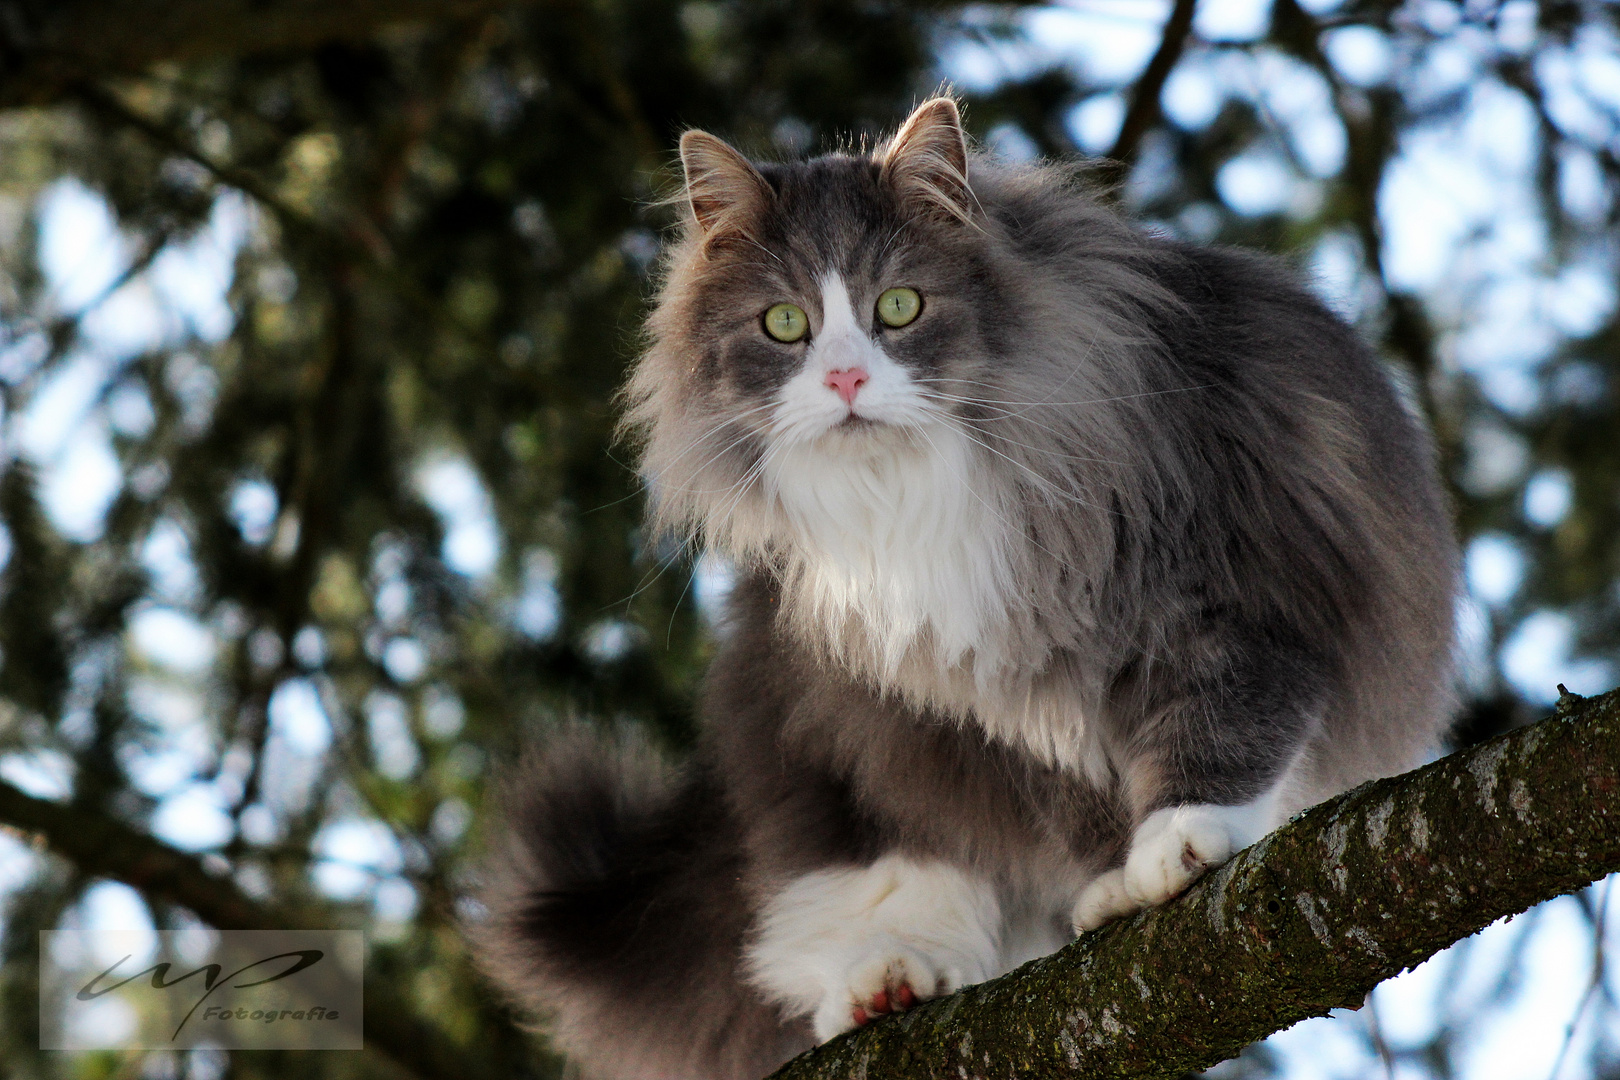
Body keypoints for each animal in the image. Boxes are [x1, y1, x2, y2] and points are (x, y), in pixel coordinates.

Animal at [469, 99, 1458, 1080]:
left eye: (898, 307)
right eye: (784, 323)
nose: (846, 377)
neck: (910, 500)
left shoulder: (1228, 594)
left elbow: (1220, 726)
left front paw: (1177, 846)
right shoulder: (976, 695)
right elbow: (1068, 808)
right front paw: (1117, 878)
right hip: (820, 736)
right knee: (879, 881)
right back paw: (891, 980)